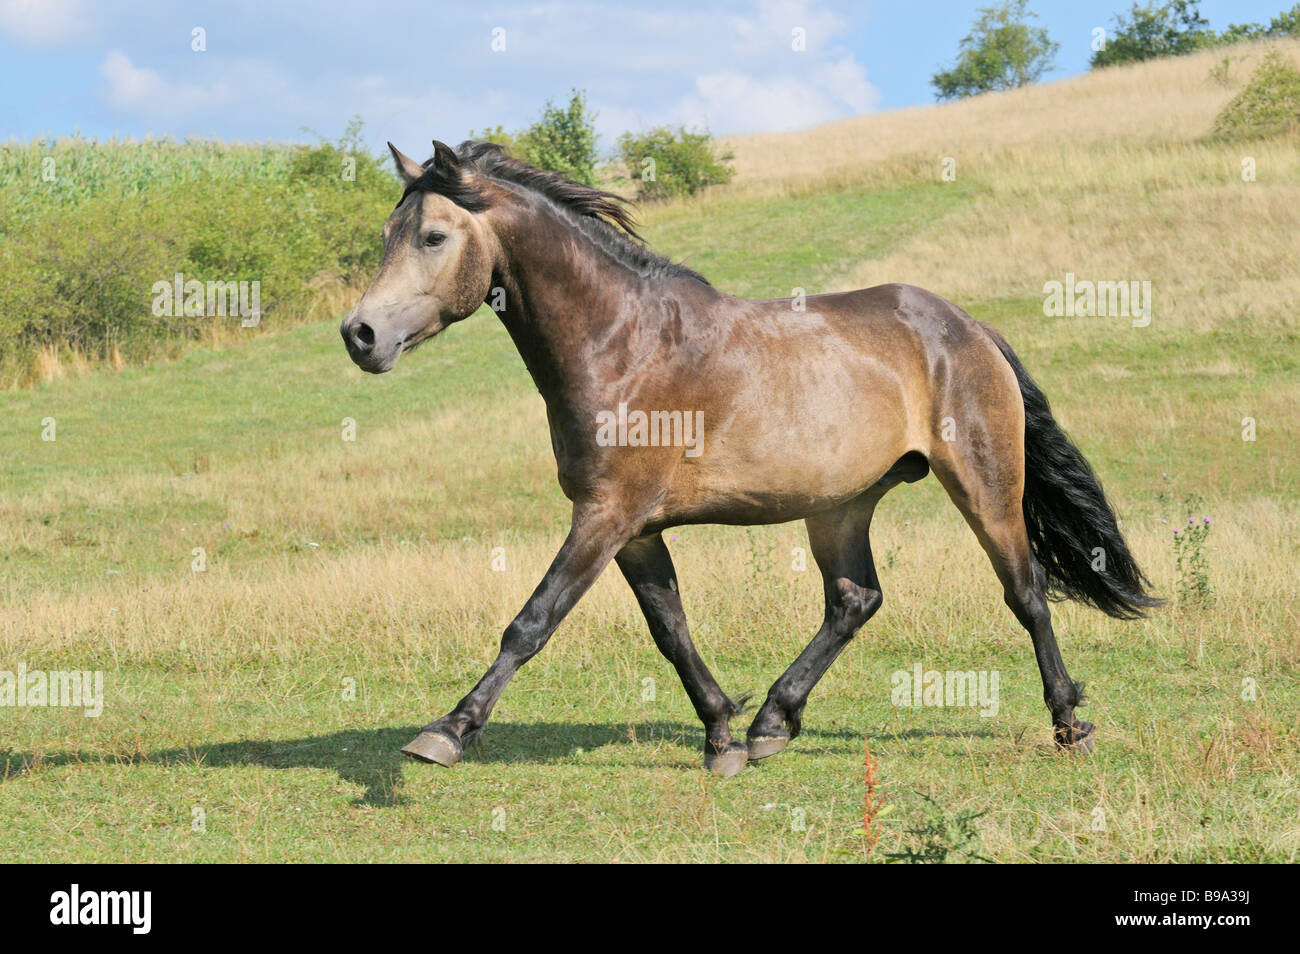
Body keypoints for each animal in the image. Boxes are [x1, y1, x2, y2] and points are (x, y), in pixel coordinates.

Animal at [339, 139, 1161, 776]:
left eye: (433, 237)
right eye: (388, 233)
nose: (360, 335)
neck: (623, 343)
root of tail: (968, 328)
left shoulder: (607, 516)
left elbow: (532, 620)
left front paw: (446, 732)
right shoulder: (632, 529)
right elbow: (670, 631)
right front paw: (722, 736)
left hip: (983, 484)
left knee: (1025, 592)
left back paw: (1069, 724)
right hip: (841, 505)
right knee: (854, 600)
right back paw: (773, 722)